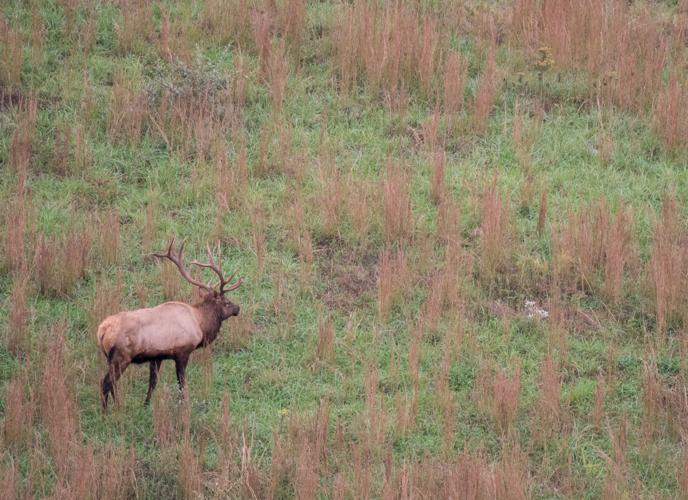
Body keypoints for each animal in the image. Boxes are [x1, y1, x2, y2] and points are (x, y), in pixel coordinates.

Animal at [97, 238, 242, 411]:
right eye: (226, 302)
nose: (238, 308)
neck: (200, 324)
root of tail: (102, 331)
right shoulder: (182, 352)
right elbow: (182, 384)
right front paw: (185, 407)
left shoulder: (157, 356)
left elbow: (153, 382)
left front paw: (146, 406)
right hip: (121, 356)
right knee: (105, 383)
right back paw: (106, 413)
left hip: (110, 358)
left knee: (112, 385)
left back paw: (118, 407)